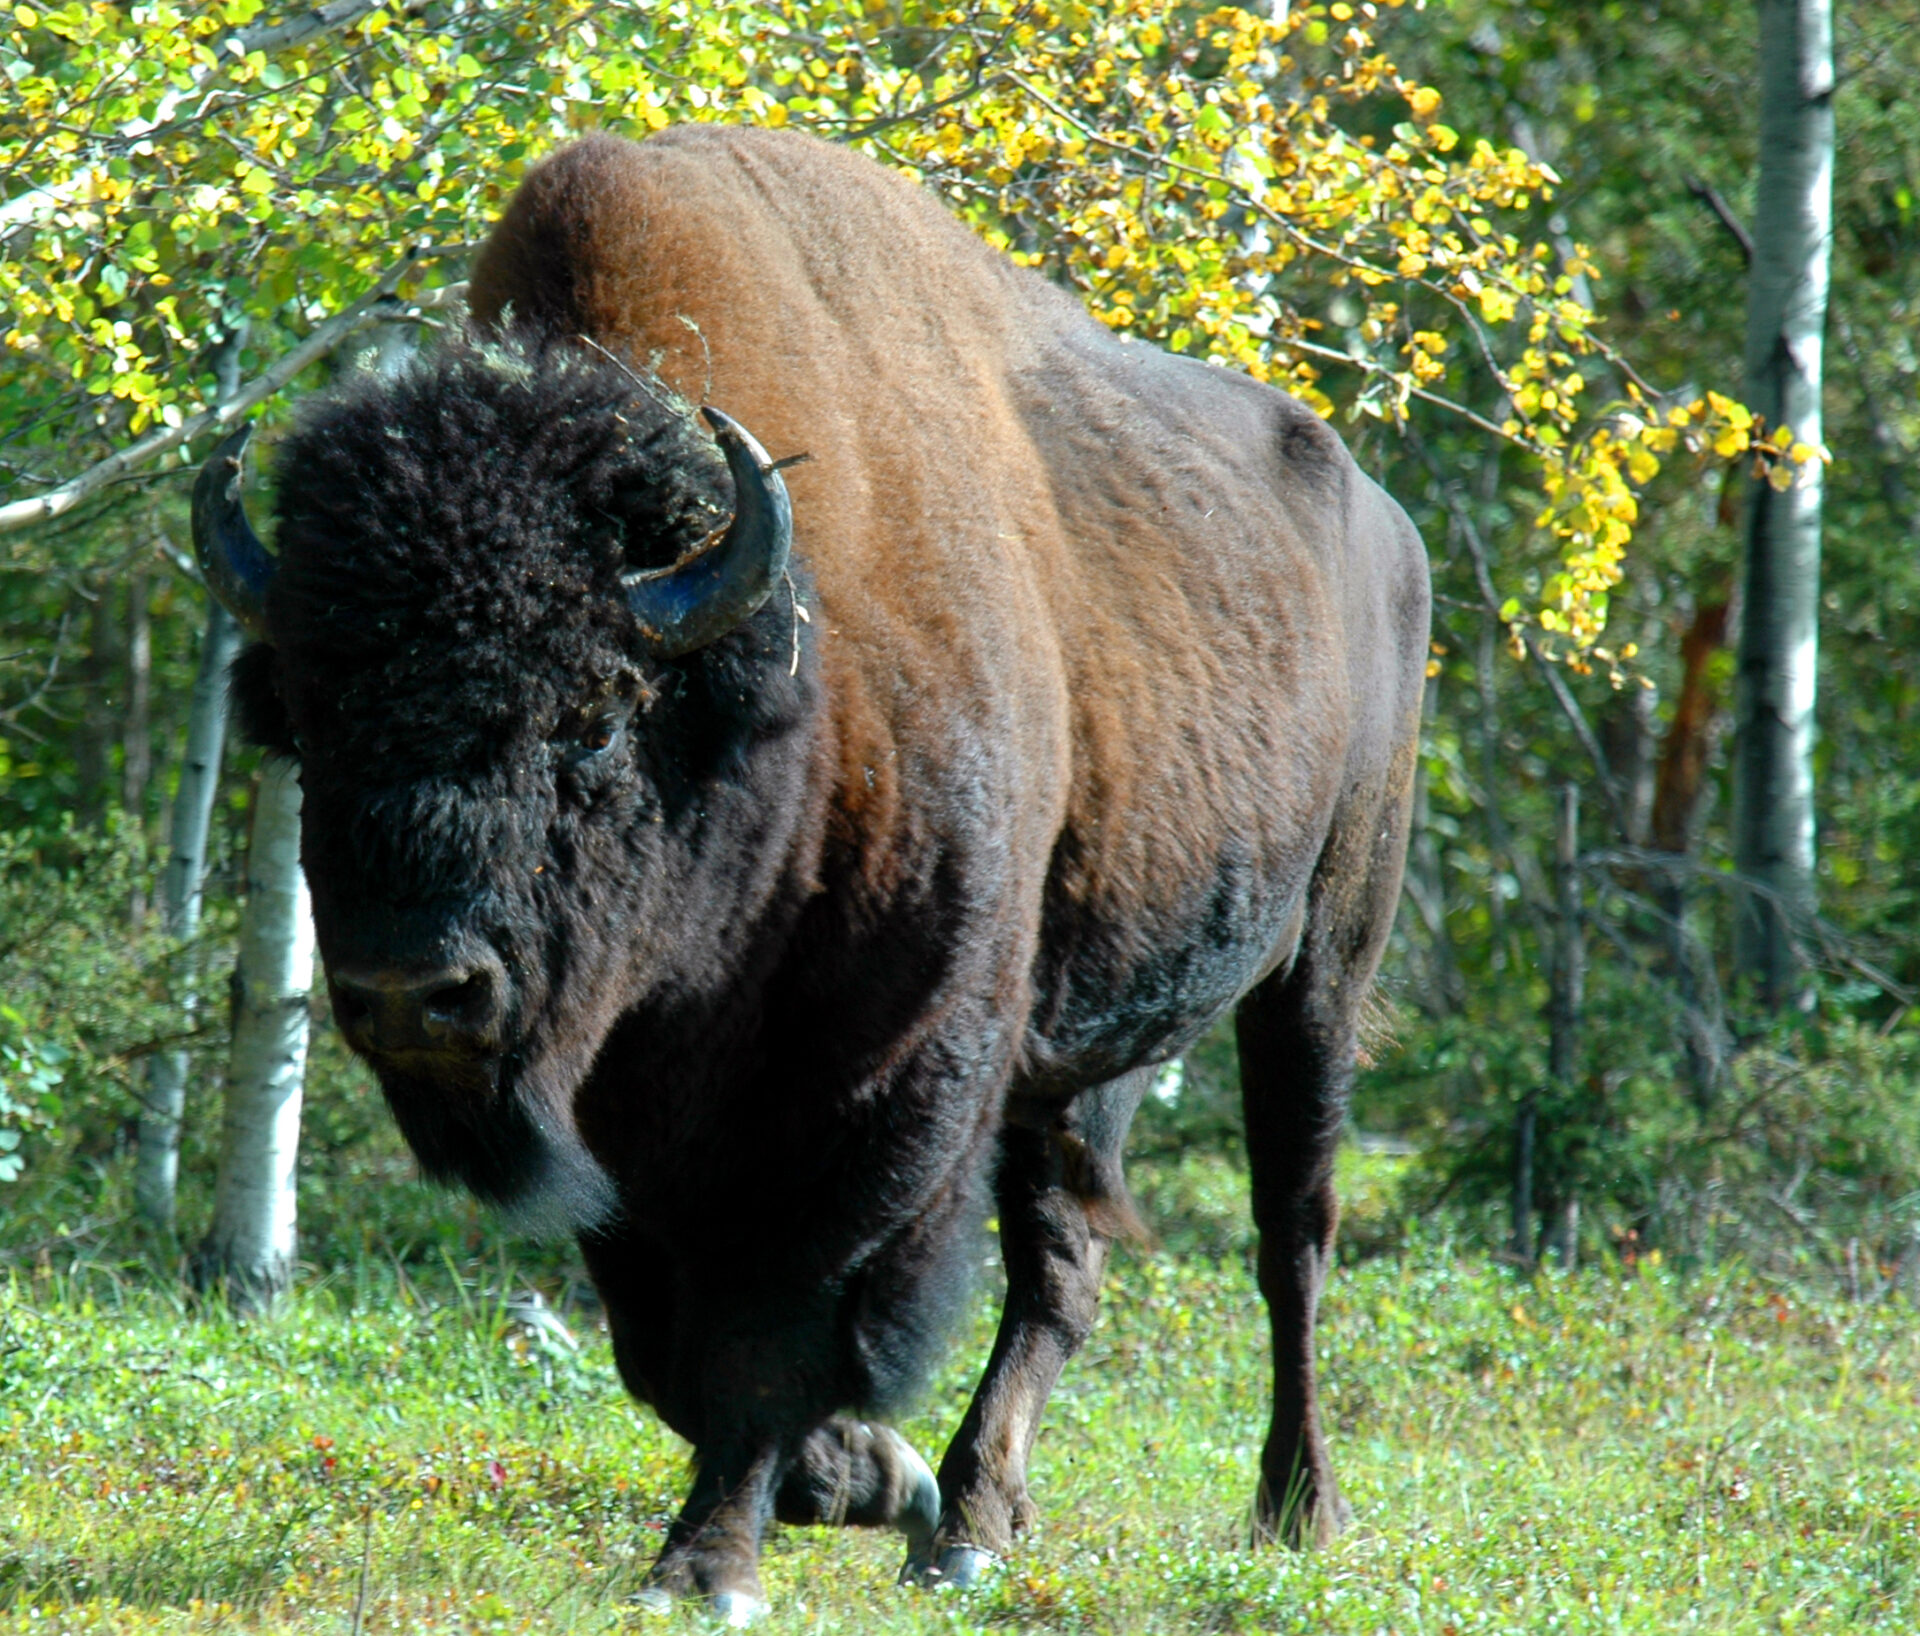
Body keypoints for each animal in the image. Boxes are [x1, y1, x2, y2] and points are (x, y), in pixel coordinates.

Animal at [193, 125, 1429, 1620]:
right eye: (310, 724)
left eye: (592, 712)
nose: (409, 992)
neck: (778, 682)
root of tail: (1386, 527)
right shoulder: (634, 1127)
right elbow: (659, 1341)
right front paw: (863, 1479)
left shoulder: (890, 1072)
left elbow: (776, 1323)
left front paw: (714, 1562)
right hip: (1094, 1035)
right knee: (1063, 1263)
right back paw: (976, 1517)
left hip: (1323, 962)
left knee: (1288, 1229)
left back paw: (1295, 1506)